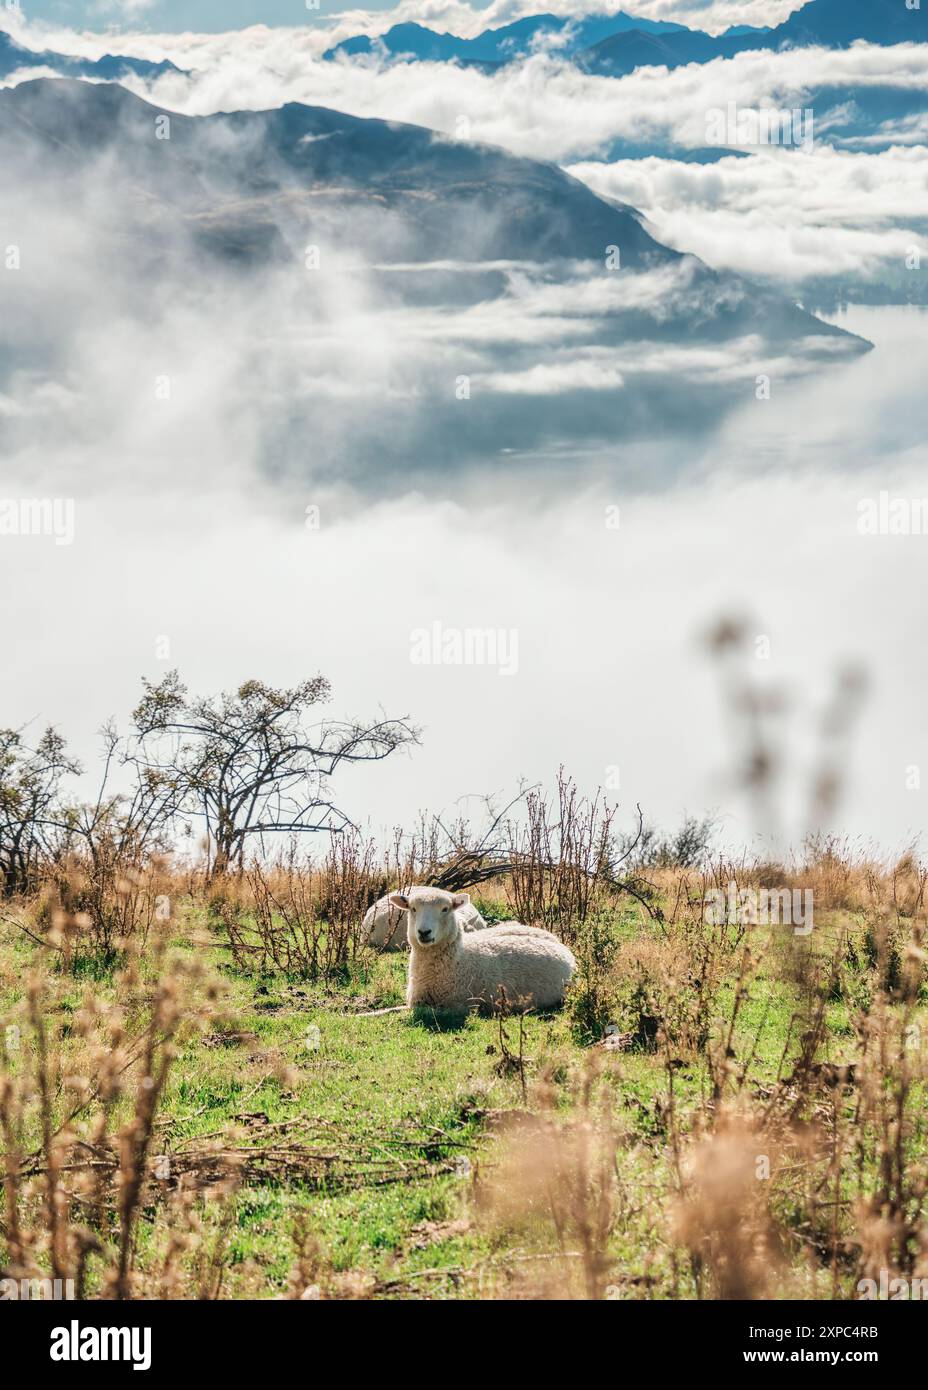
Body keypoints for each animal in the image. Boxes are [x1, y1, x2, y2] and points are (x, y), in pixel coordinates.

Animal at [393, 886, 575, 1013]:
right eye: (413, 908)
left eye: (445, 909)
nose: (424, 932)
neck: (459, 959)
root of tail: (566, 951)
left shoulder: (455, 1005)